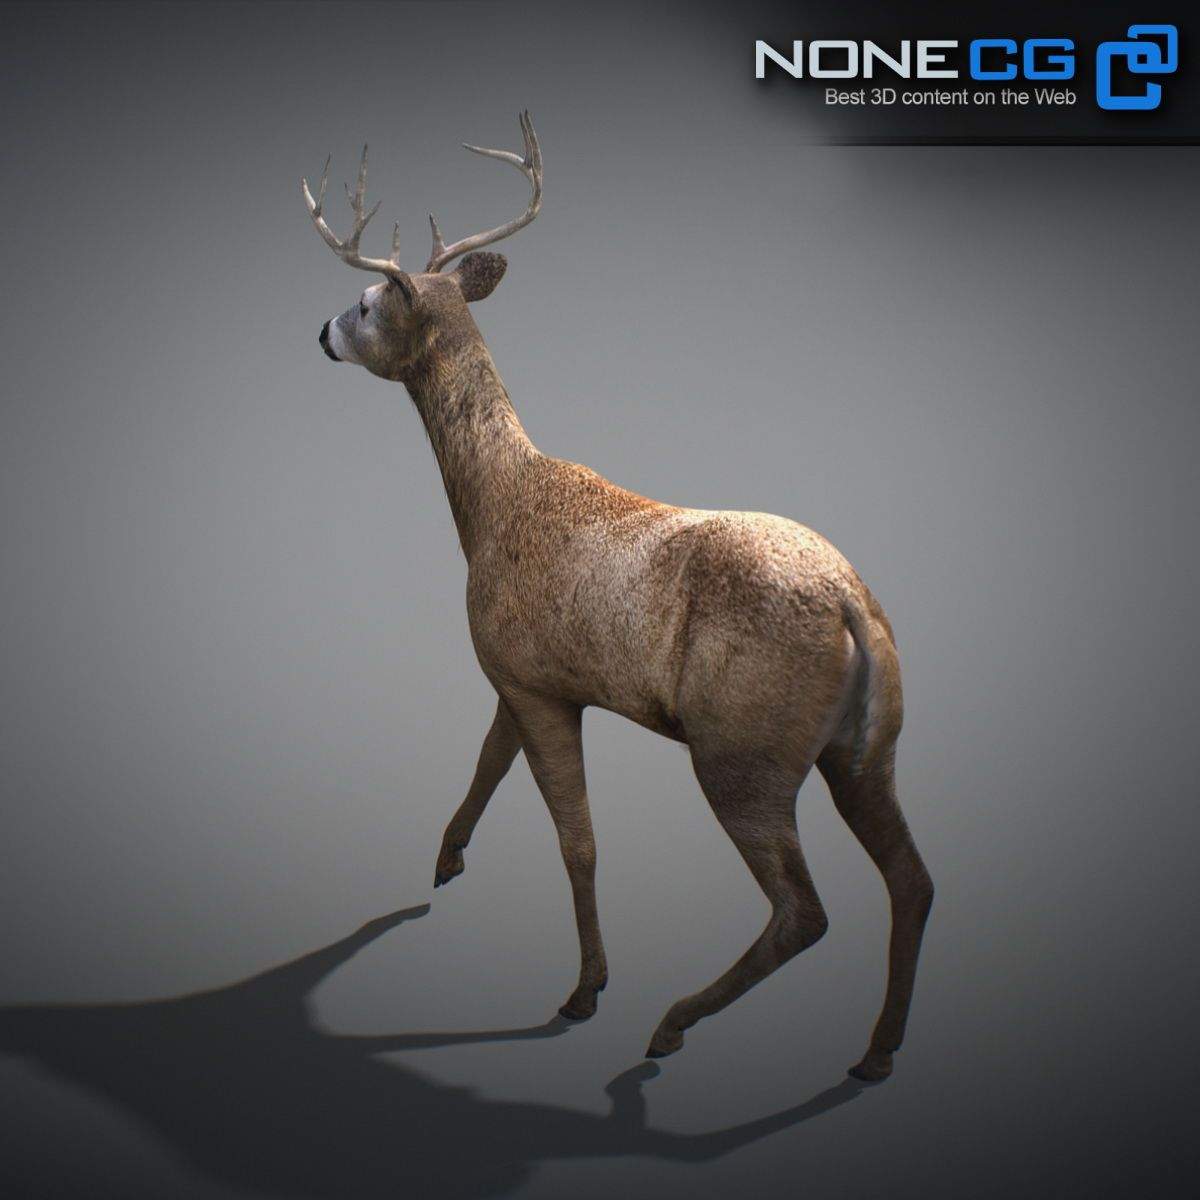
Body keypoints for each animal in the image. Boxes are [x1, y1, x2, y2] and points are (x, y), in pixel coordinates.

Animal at [301, 112, 933, 1082]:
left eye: (368, 304)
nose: (320, 333)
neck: (490, 511)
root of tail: (852, 612)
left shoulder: (537, 681)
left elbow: (579, 842)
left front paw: (587, 987)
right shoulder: (518, 673)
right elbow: (485, 761)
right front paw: (446, 860)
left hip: (742, 748)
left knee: (806, 910)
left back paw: (669, 1025)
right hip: (869, 746)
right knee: (913, 878)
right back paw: (876, 1053)